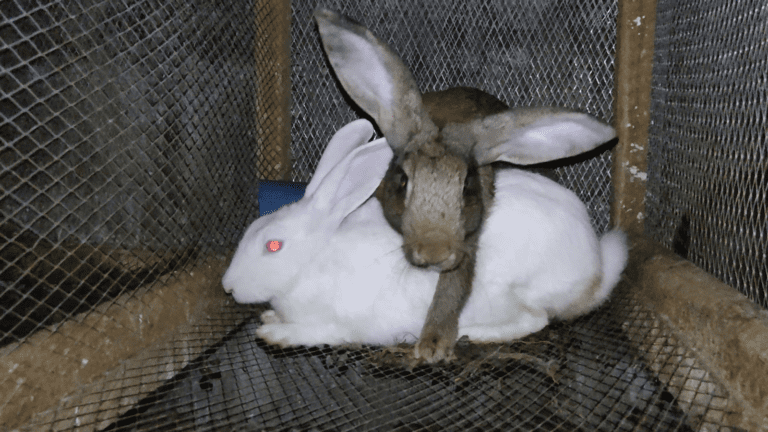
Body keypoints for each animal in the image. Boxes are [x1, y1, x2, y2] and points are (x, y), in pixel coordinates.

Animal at [222, 118, 629, 351]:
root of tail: (595, 271)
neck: (314, 262)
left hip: (516, 291)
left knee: (536, 320)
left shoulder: (339, 324)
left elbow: (313, 332)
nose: (227, 286)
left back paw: (475, 333)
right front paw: (270, 318)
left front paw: (276, 334)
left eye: (273, 245)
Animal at [314, 8, 618, 362]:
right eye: (402, 181)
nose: (434, 252)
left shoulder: (468, 238)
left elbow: (455, 284)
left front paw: (432, 344)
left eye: (467, 186)